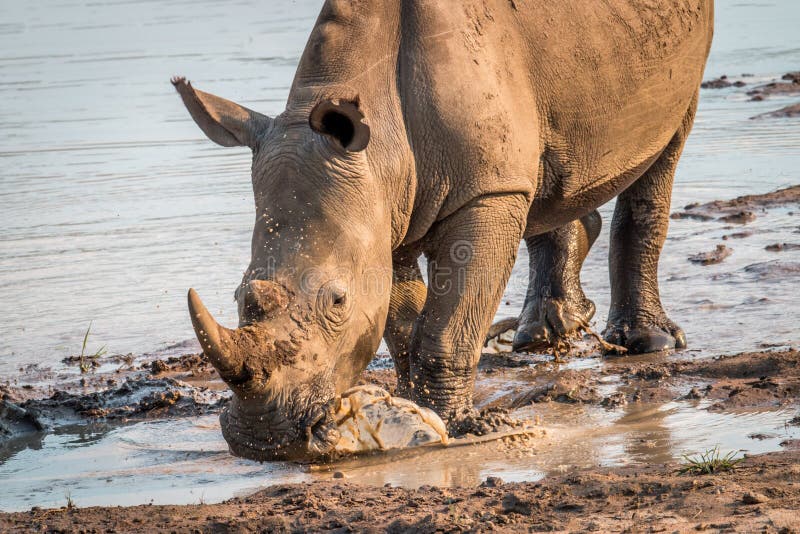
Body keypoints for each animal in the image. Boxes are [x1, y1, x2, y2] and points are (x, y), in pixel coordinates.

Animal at [174, 0, 714, 460]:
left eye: (338, 301)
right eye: (240, 294)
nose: (263, 441)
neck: (380, 141)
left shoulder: (485, 194)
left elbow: (449, 319)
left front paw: (450, 423)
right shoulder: (384, 213)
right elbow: (403, 320)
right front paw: (414, 407)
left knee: (667, 146)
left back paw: (647, 343)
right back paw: (543, 334)